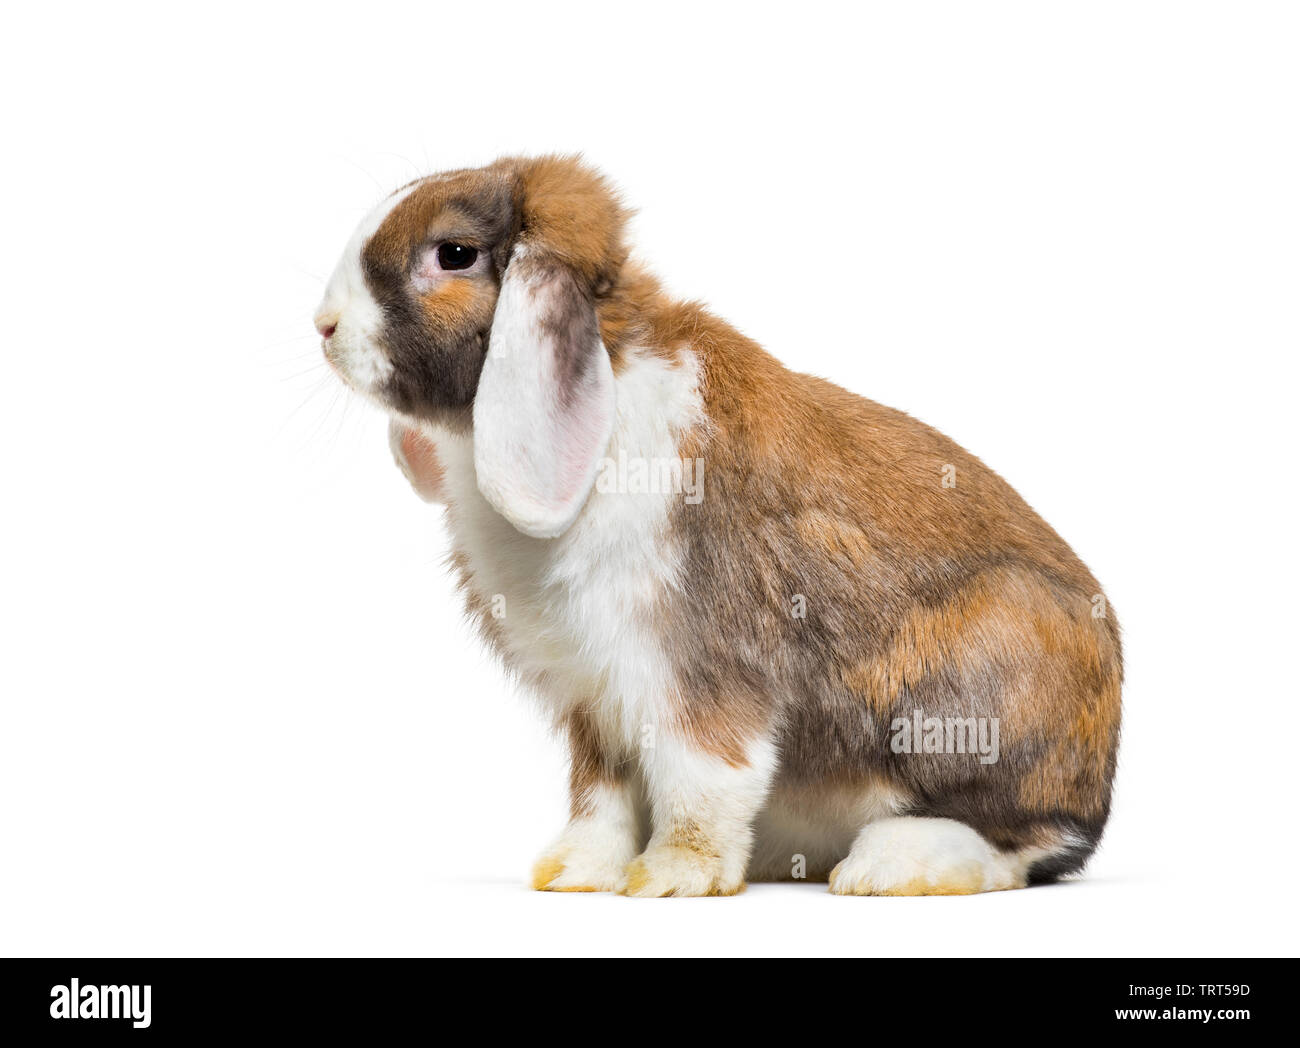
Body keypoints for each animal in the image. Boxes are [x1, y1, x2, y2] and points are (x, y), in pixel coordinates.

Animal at [314, 155, 1122, 896]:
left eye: (453, 253)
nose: (323, 326)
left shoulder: (693, 663)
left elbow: (702, 777)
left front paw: (673, 877)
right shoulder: (594, 698)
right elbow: (600, 795)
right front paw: (575, 874)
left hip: (974, 697)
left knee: (1031, 840)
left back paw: (890, 866)